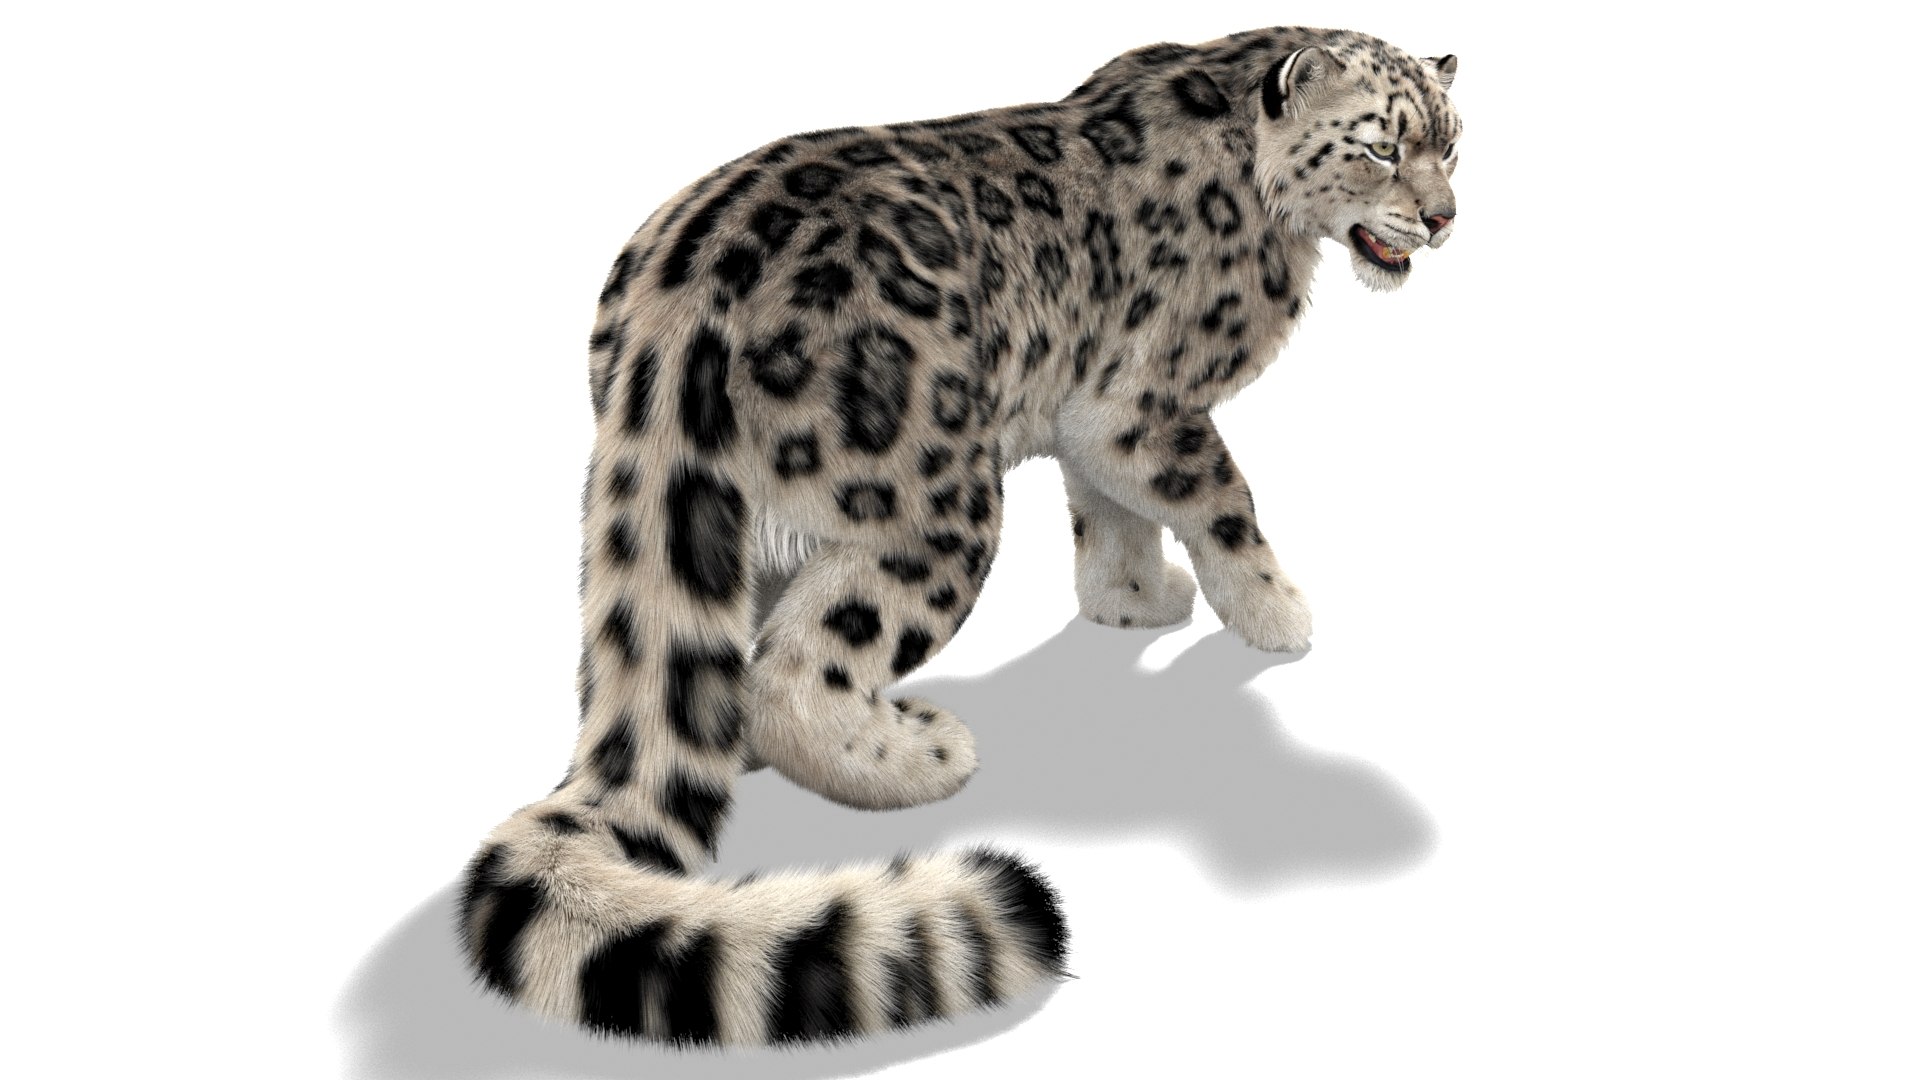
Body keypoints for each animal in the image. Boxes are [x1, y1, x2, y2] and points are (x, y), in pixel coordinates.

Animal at [459, 25, 1462, 1046]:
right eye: (1382, 147)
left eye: (1452, 144)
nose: (1443, 218)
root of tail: (675, 315)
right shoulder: (1141, 405)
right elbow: (1221, 499)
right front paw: (1278, 612)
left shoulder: (1084, 416)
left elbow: (1109, 514)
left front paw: (1135, 600)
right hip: (941, 507)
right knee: (798, 670)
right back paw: (917, 754)